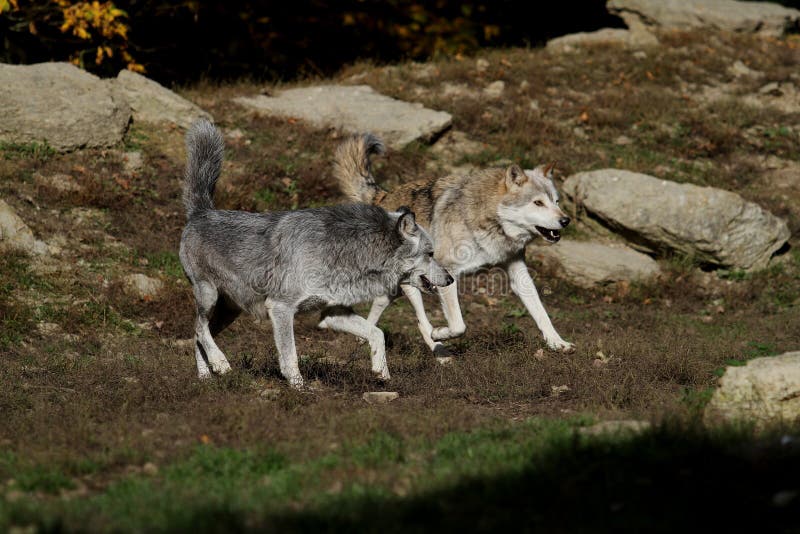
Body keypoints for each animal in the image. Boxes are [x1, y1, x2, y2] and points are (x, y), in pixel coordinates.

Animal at [179, 120, 453, 388]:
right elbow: (290, 356)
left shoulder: (332, 313)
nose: (450, 279)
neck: (344, 252)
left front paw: (381, 373)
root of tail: (201, 212)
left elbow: (378, 334)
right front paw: (299, 388)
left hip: (230, 310)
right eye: (431, 253)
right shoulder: (281, 308)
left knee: (197, 336)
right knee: (199, 328)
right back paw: (220, 364)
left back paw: (206, 377)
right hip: (209, 295)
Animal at [333, 133, 574, 354]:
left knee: (381, 304)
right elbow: (458, 325)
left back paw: (365, 338)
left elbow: (541, 312)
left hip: (400, 288)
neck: (489, 219)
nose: (566, 220)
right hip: (413, 284)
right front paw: (441, 333)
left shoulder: (517, 271)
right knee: (421, 321)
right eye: (538, 203)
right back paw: (439, 349)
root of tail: (383, 196)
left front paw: (558, 343)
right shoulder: (448, 274)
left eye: (556, 201)